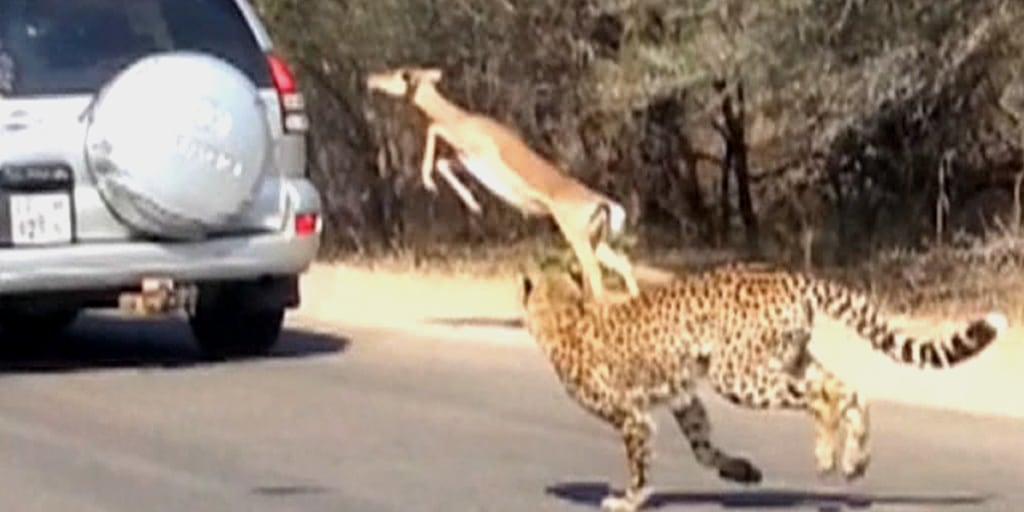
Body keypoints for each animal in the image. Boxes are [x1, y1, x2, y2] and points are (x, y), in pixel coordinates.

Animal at [365, 66, 640, 300]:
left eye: (400, 74)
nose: (371, 79)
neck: (461, 118)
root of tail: (603, 204)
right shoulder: (466, 160)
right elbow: (442, 162)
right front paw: (474, 205)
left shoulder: (472, 147)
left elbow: (435, 129)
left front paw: (428, 182)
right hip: (595, 237)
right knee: (622, 263)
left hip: (576, 233)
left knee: (595, 272)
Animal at [517, 260, 1007, 512]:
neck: (565, 309)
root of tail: (784, 275)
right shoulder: (684, 398)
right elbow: (702, 447)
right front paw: (742, 471)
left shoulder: (633, 416)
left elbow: (640, 461)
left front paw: (629, 498)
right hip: (790, 360)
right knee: (850, 391)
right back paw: (854, 461)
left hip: (739, 374)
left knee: (823, 397)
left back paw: (826, 456)